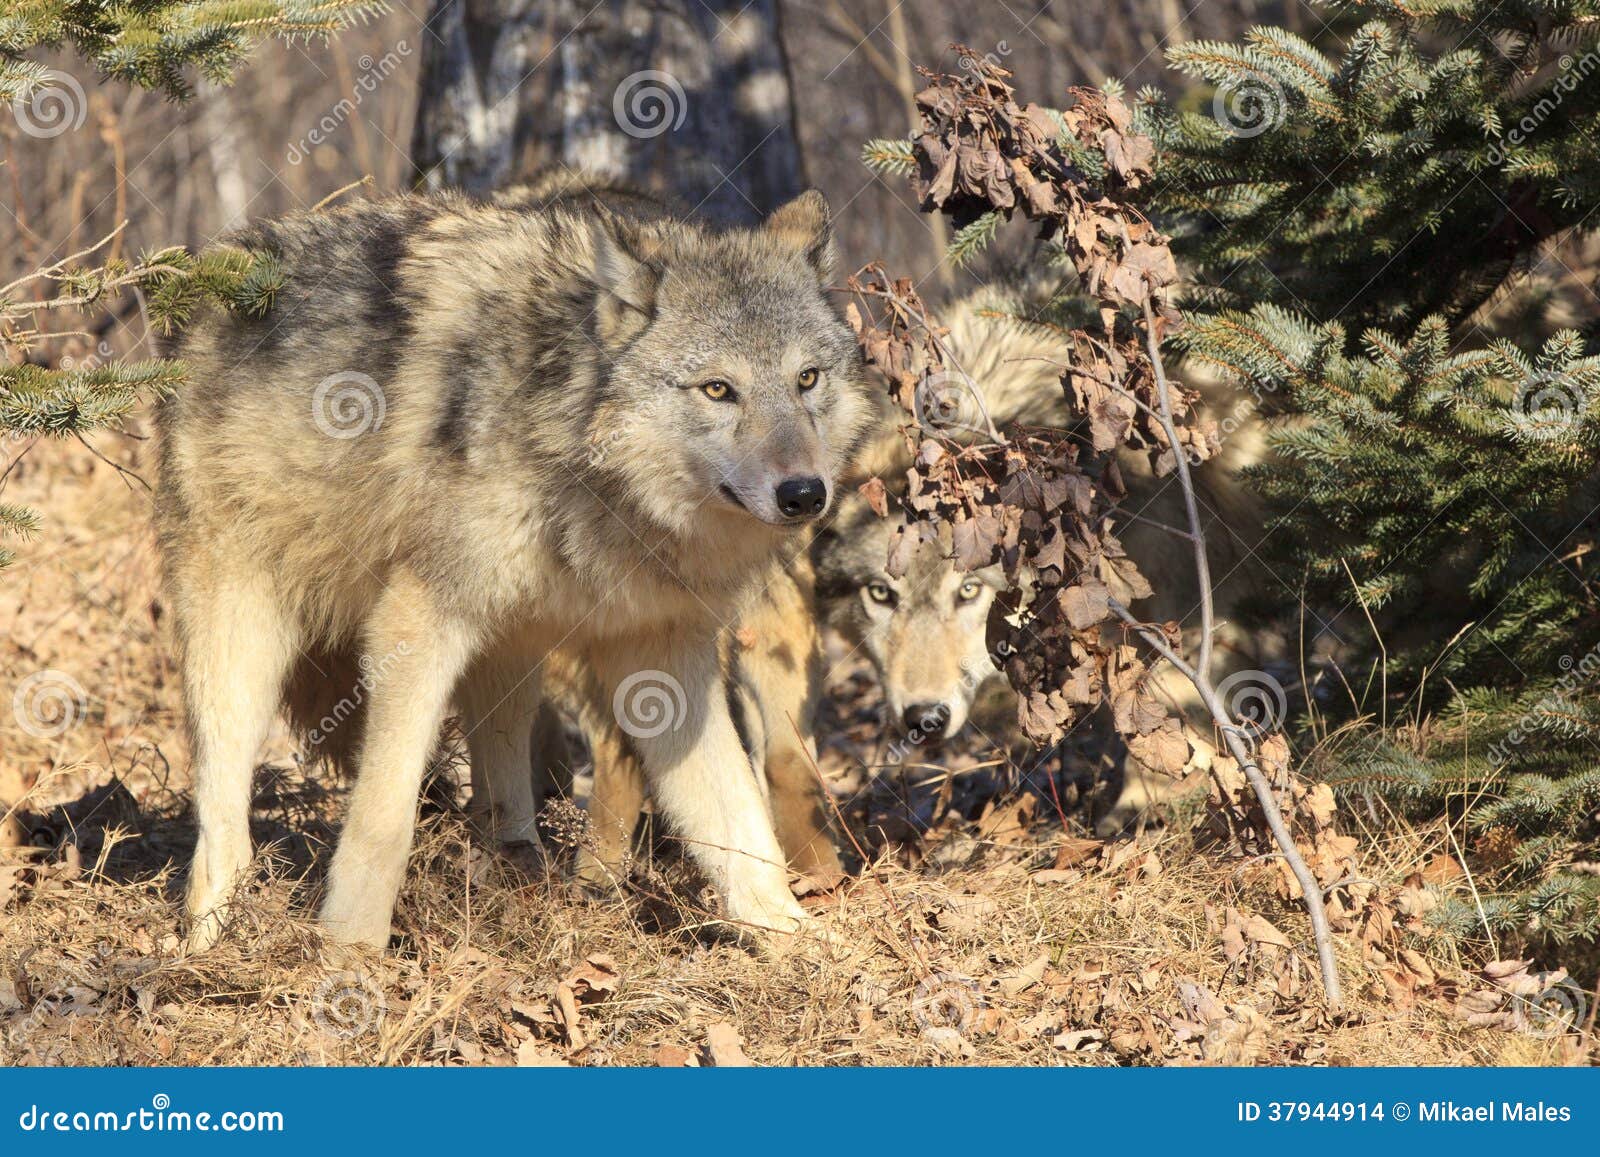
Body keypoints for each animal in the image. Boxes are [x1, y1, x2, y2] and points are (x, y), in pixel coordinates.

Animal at [157, 186, 874, 950]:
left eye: (807, 380)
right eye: (718, 390)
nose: (804, 493)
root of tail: (221, 264)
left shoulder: (662, 651)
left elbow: (738, 818)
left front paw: (800, 941)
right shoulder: (416, 623)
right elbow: (383, 816)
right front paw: (348, 950)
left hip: (512, 652)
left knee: (504, 782)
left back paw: (518, 875)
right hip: (245, 643)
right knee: (221, 817)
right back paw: (205, 944)